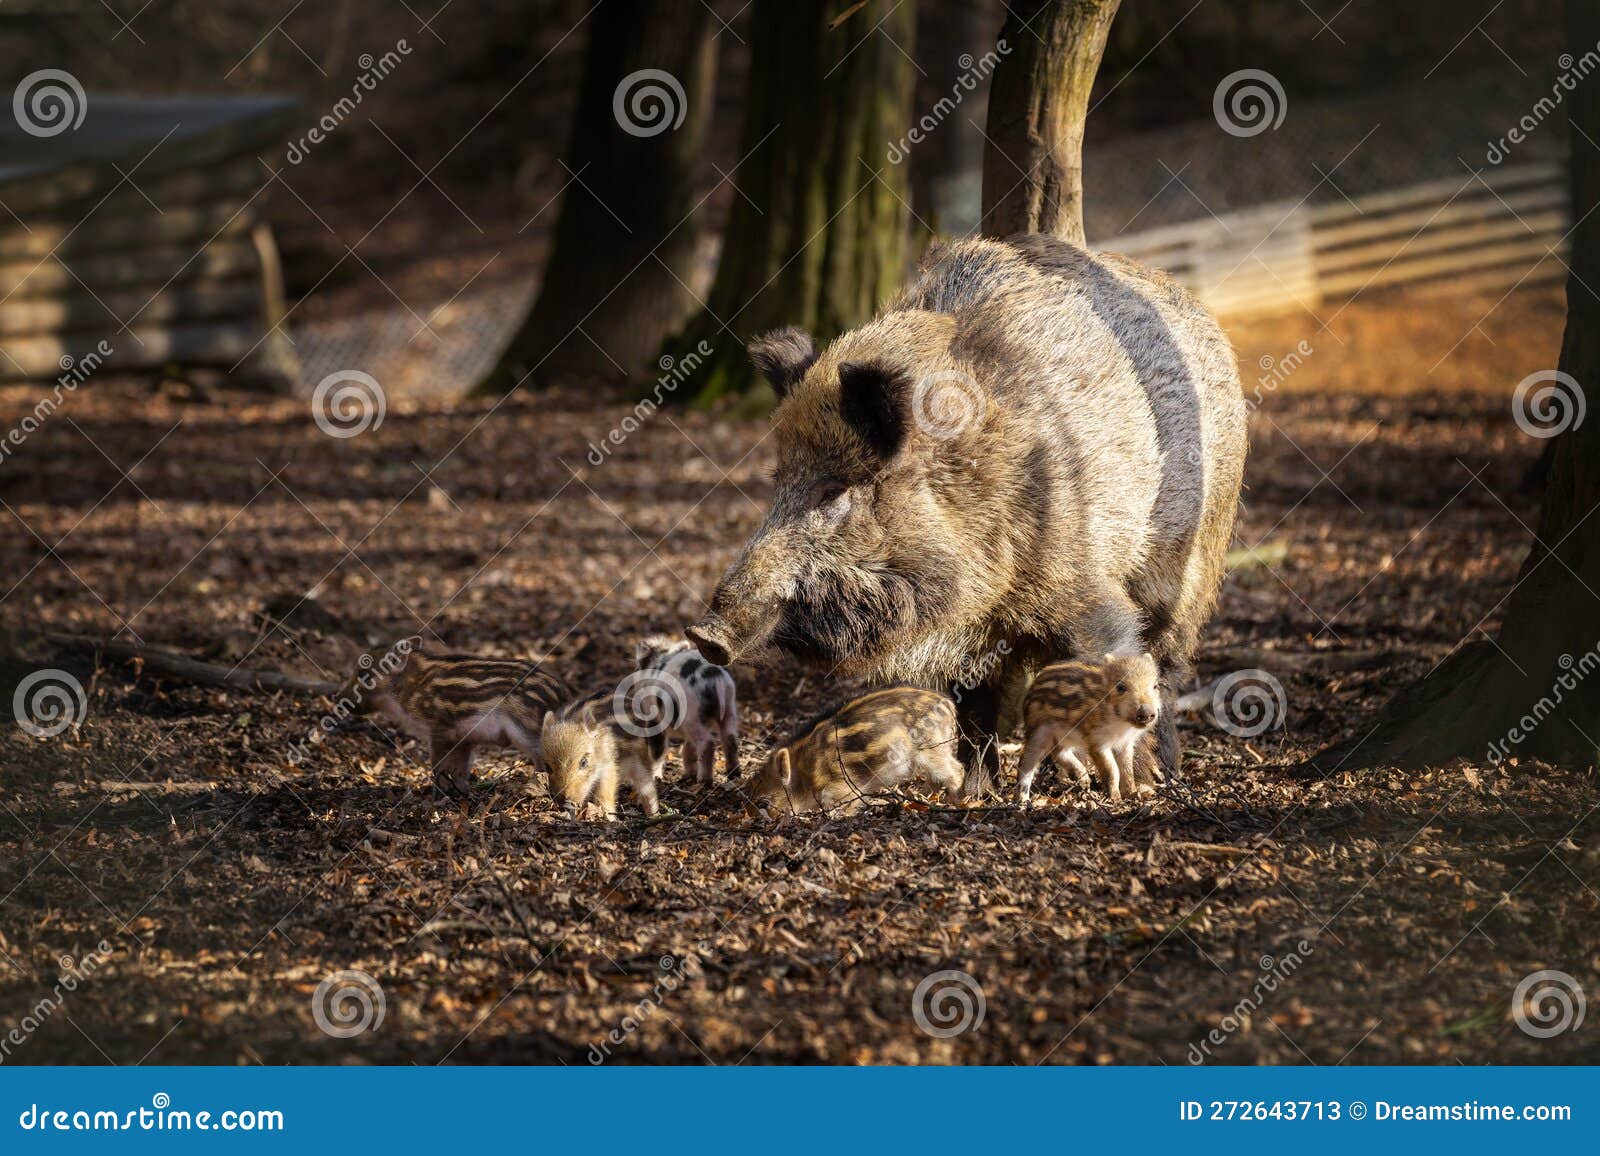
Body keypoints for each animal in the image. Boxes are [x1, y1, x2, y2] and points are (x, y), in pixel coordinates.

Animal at [687, 234, 1247, 794]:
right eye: (779, 482)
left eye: (834, 490)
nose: (704, 635)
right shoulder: (971, 636)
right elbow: (976, 707)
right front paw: (974, 792)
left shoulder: (1082, 585)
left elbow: (1114, 663)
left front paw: (1132, 786)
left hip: (1196, 553)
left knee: (1169, 660)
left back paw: (1165, 775)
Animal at [747, 686, 964, 815]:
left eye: (763, 803)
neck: (807, 773)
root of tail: (949, 705)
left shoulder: (844, 790)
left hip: (933, 749)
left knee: (956, 770)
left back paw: (959, 802)